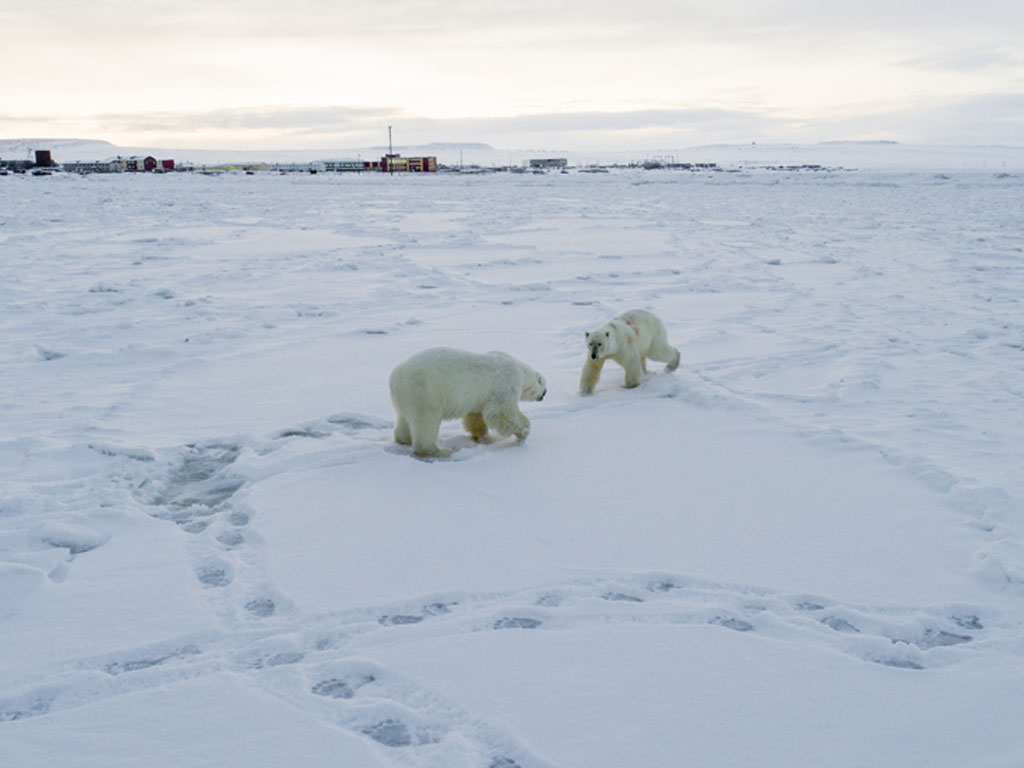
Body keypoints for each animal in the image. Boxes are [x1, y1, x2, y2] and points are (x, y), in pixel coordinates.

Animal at [389, 347, 547, 459]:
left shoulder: (480, 398)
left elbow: (476, 415)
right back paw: (439, 451)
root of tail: (394, 377)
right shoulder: (506, 382)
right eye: (544, 387)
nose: (544, 394)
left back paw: (404, 439)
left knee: (405, 419)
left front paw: (483, 437)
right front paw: (524, 432)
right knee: (426, 420)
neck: (522, 371)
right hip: (425, 391)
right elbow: (501, 412)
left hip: (405, 398)